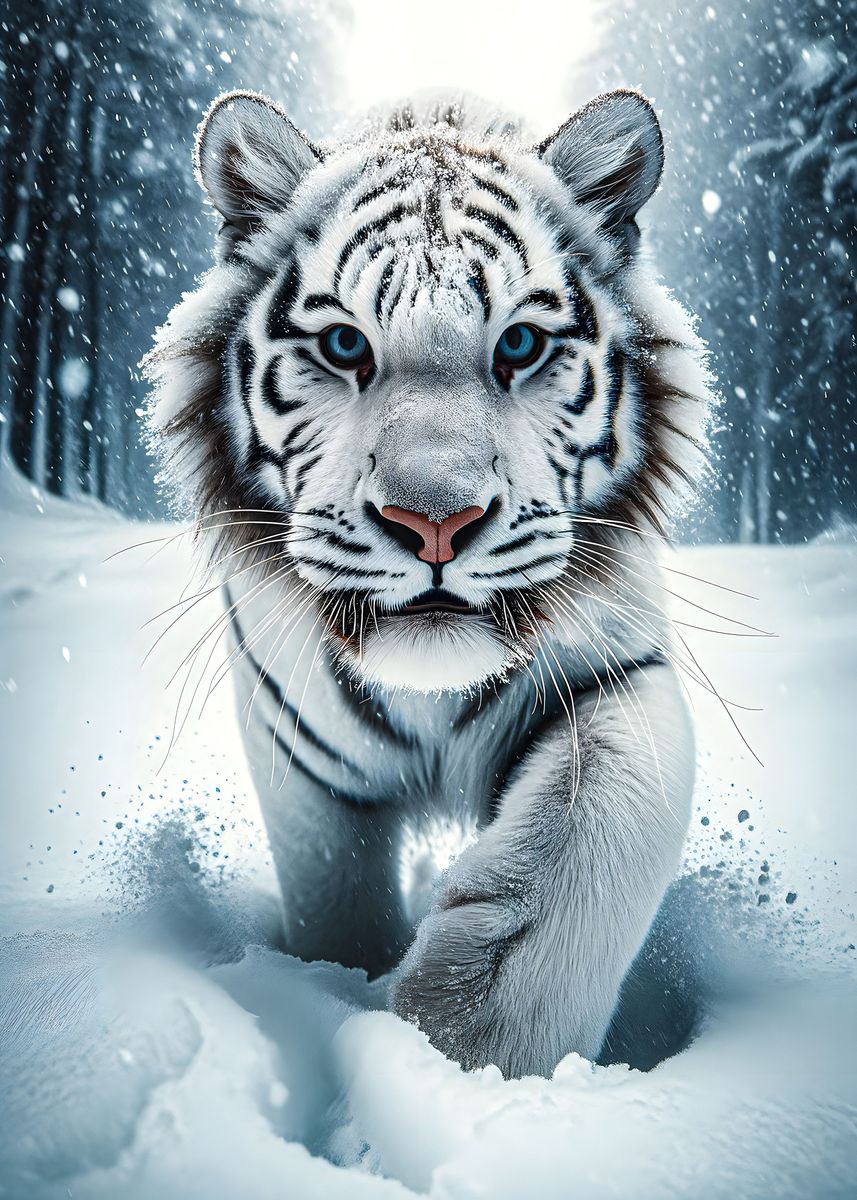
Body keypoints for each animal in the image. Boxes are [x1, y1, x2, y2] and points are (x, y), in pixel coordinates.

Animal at [144, 87, 712, 1079]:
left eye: (518, 346)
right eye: (343, 346)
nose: (435, 522)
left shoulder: (611, 673)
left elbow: (608, 817)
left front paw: (465, 1048)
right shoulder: (299, 755)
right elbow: (334, 900)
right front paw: (348, 994)